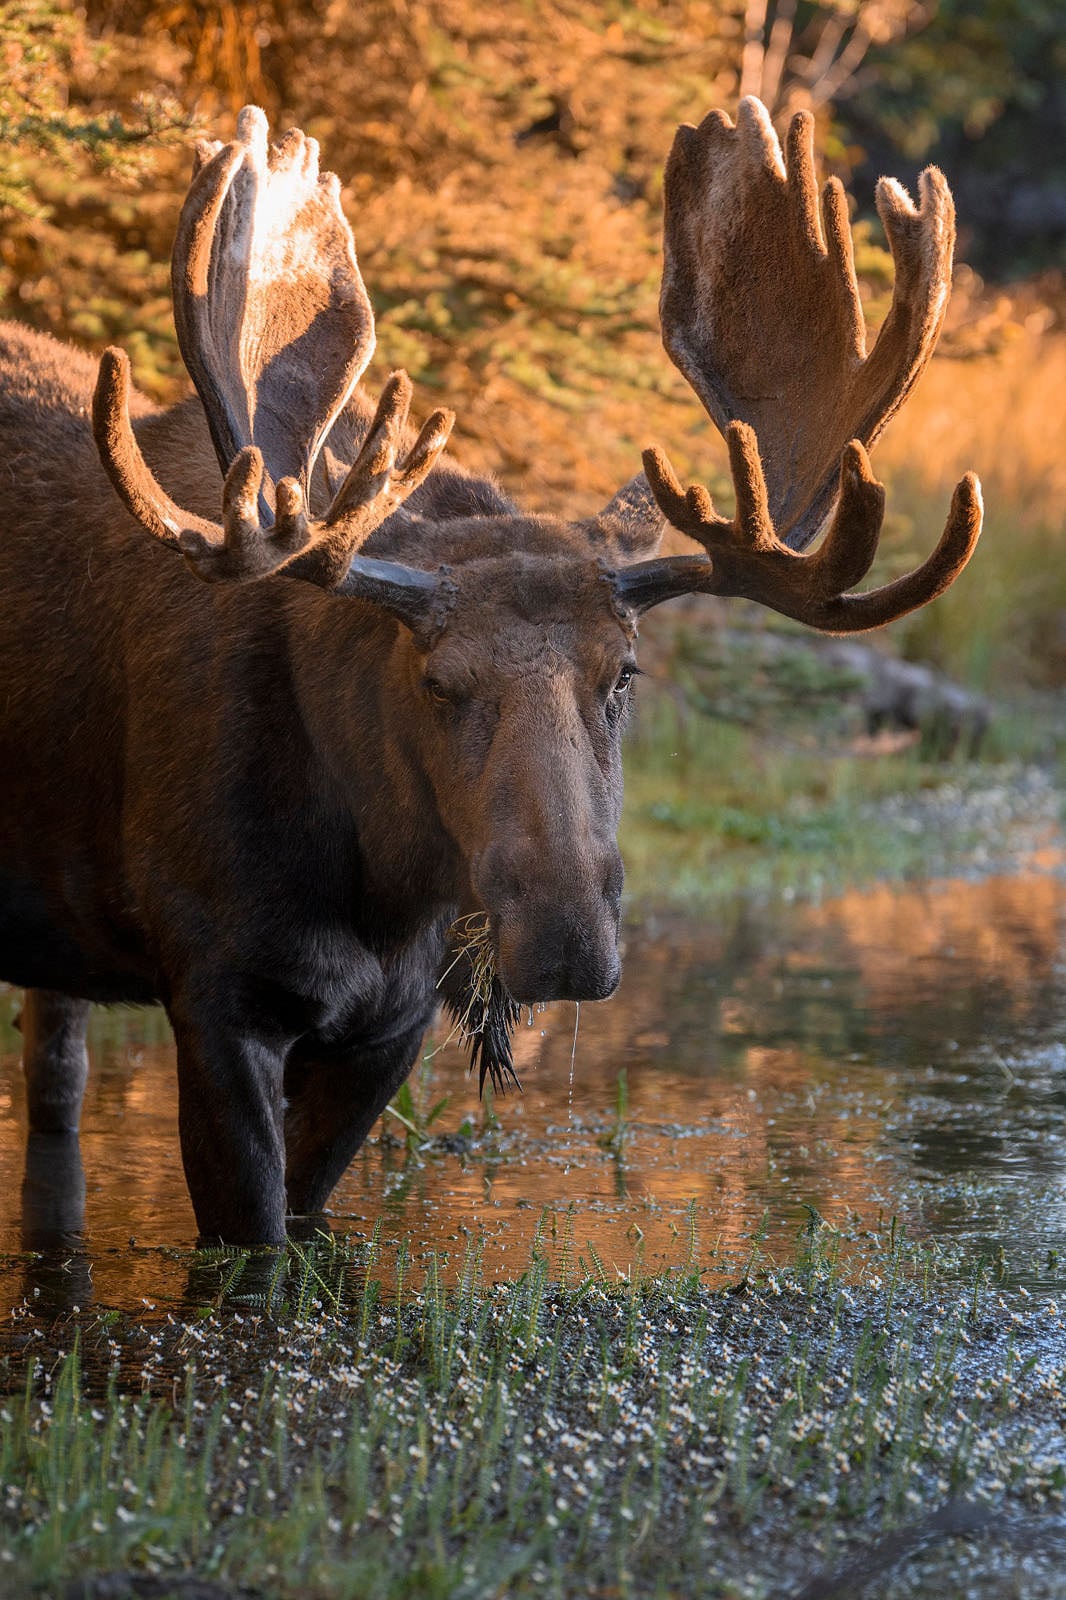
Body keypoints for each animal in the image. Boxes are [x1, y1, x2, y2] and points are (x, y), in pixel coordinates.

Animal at [0, 98, 981, 1244]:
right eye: (436, 680)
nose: (564, 934)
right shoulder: (214, 989)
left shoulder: (387, 1026)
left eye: (623, 674)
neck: (376, 890)